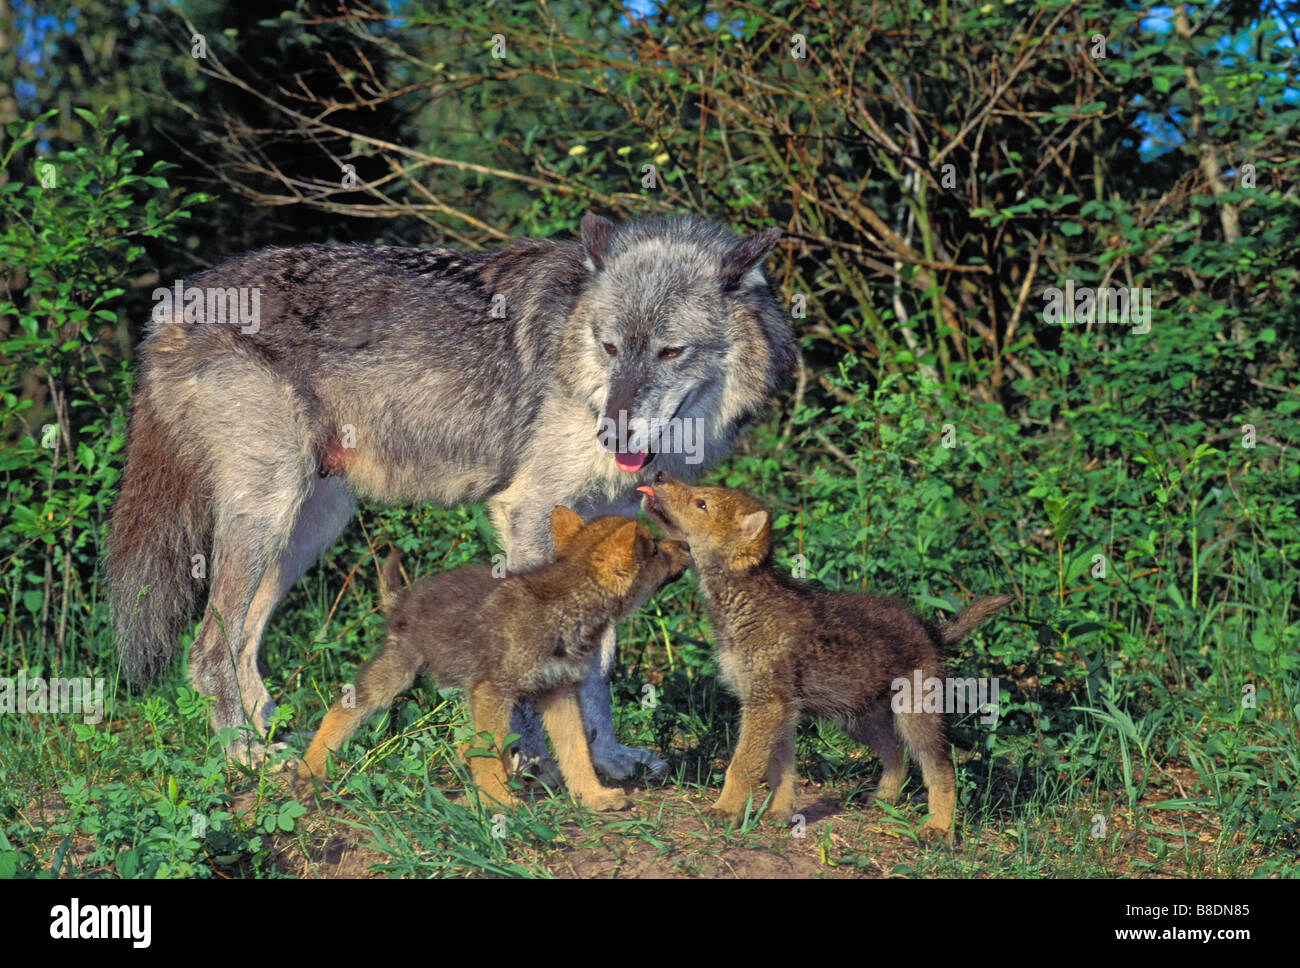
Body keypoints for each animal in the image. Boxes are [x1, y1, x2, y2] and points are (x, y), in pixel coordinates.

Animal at [105, 213, 795, 776]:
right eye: (611, 346)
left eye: (671, 351)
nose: (612, 431)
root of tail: (174, 302)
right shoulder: (528, 513)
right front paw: (529, 757)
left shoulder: (610, 524)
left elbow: (599, 662)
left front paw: (607, 758)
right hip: (269, 510)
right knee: (208, 647)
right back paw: (244, 754)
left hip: (312, 523)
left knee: (244, 641)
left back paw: (273, 736)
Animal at [295, 508, 691, 808]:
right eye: (656, 549)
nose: (687, 544)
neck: (568, 606)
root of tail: (403, 598)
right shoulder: (493, 689)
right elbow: (486, 751)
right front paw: (499, 804)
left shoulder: (558, 689)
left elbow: (576, 751)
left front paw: (594, 797)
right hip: (396, 673)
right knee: (340, 713)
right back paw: (309, 775)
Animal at [638, 472, 1013, 843]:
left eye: (701, 503)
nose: (657, 474)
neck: (742, 606)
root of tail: (931, 630)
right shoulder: (779, 710)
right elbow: (782, 770)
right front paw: (780, 814)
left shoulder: (766, 706)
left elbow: (742, 767)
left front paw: (725, 809)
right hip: (858, 716)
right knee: (896, 752)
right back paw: (883, 798)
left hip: (914, 716)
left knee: (941, 768)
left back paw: (938, 828)